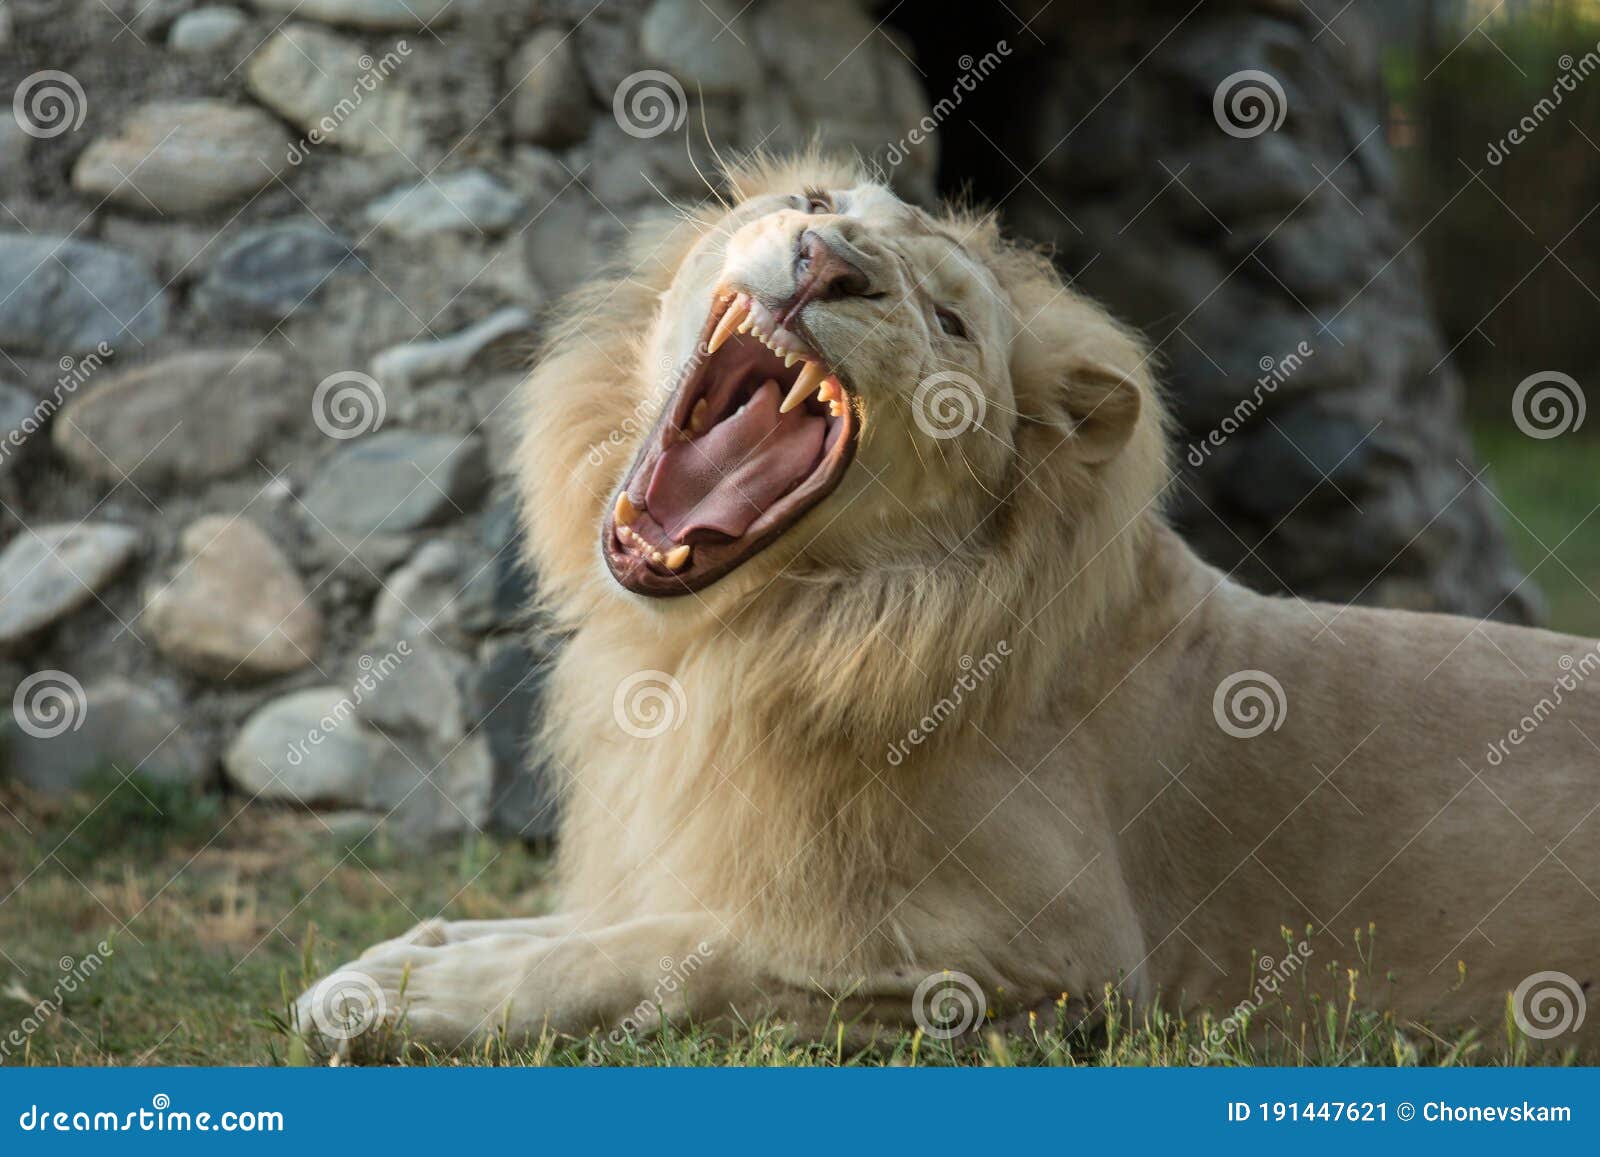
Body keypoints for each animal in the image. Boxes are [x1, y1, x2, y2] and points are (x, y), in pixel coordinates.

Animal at [296, 155, 1599, 1058]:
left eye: (953, 320)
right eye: (817, 198)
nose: (827, 260)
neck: (739, 643)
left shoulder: (1052, 970)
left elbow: (678, 955)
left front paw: (401, 991)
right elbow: (583, 927)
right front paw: (403, 958)